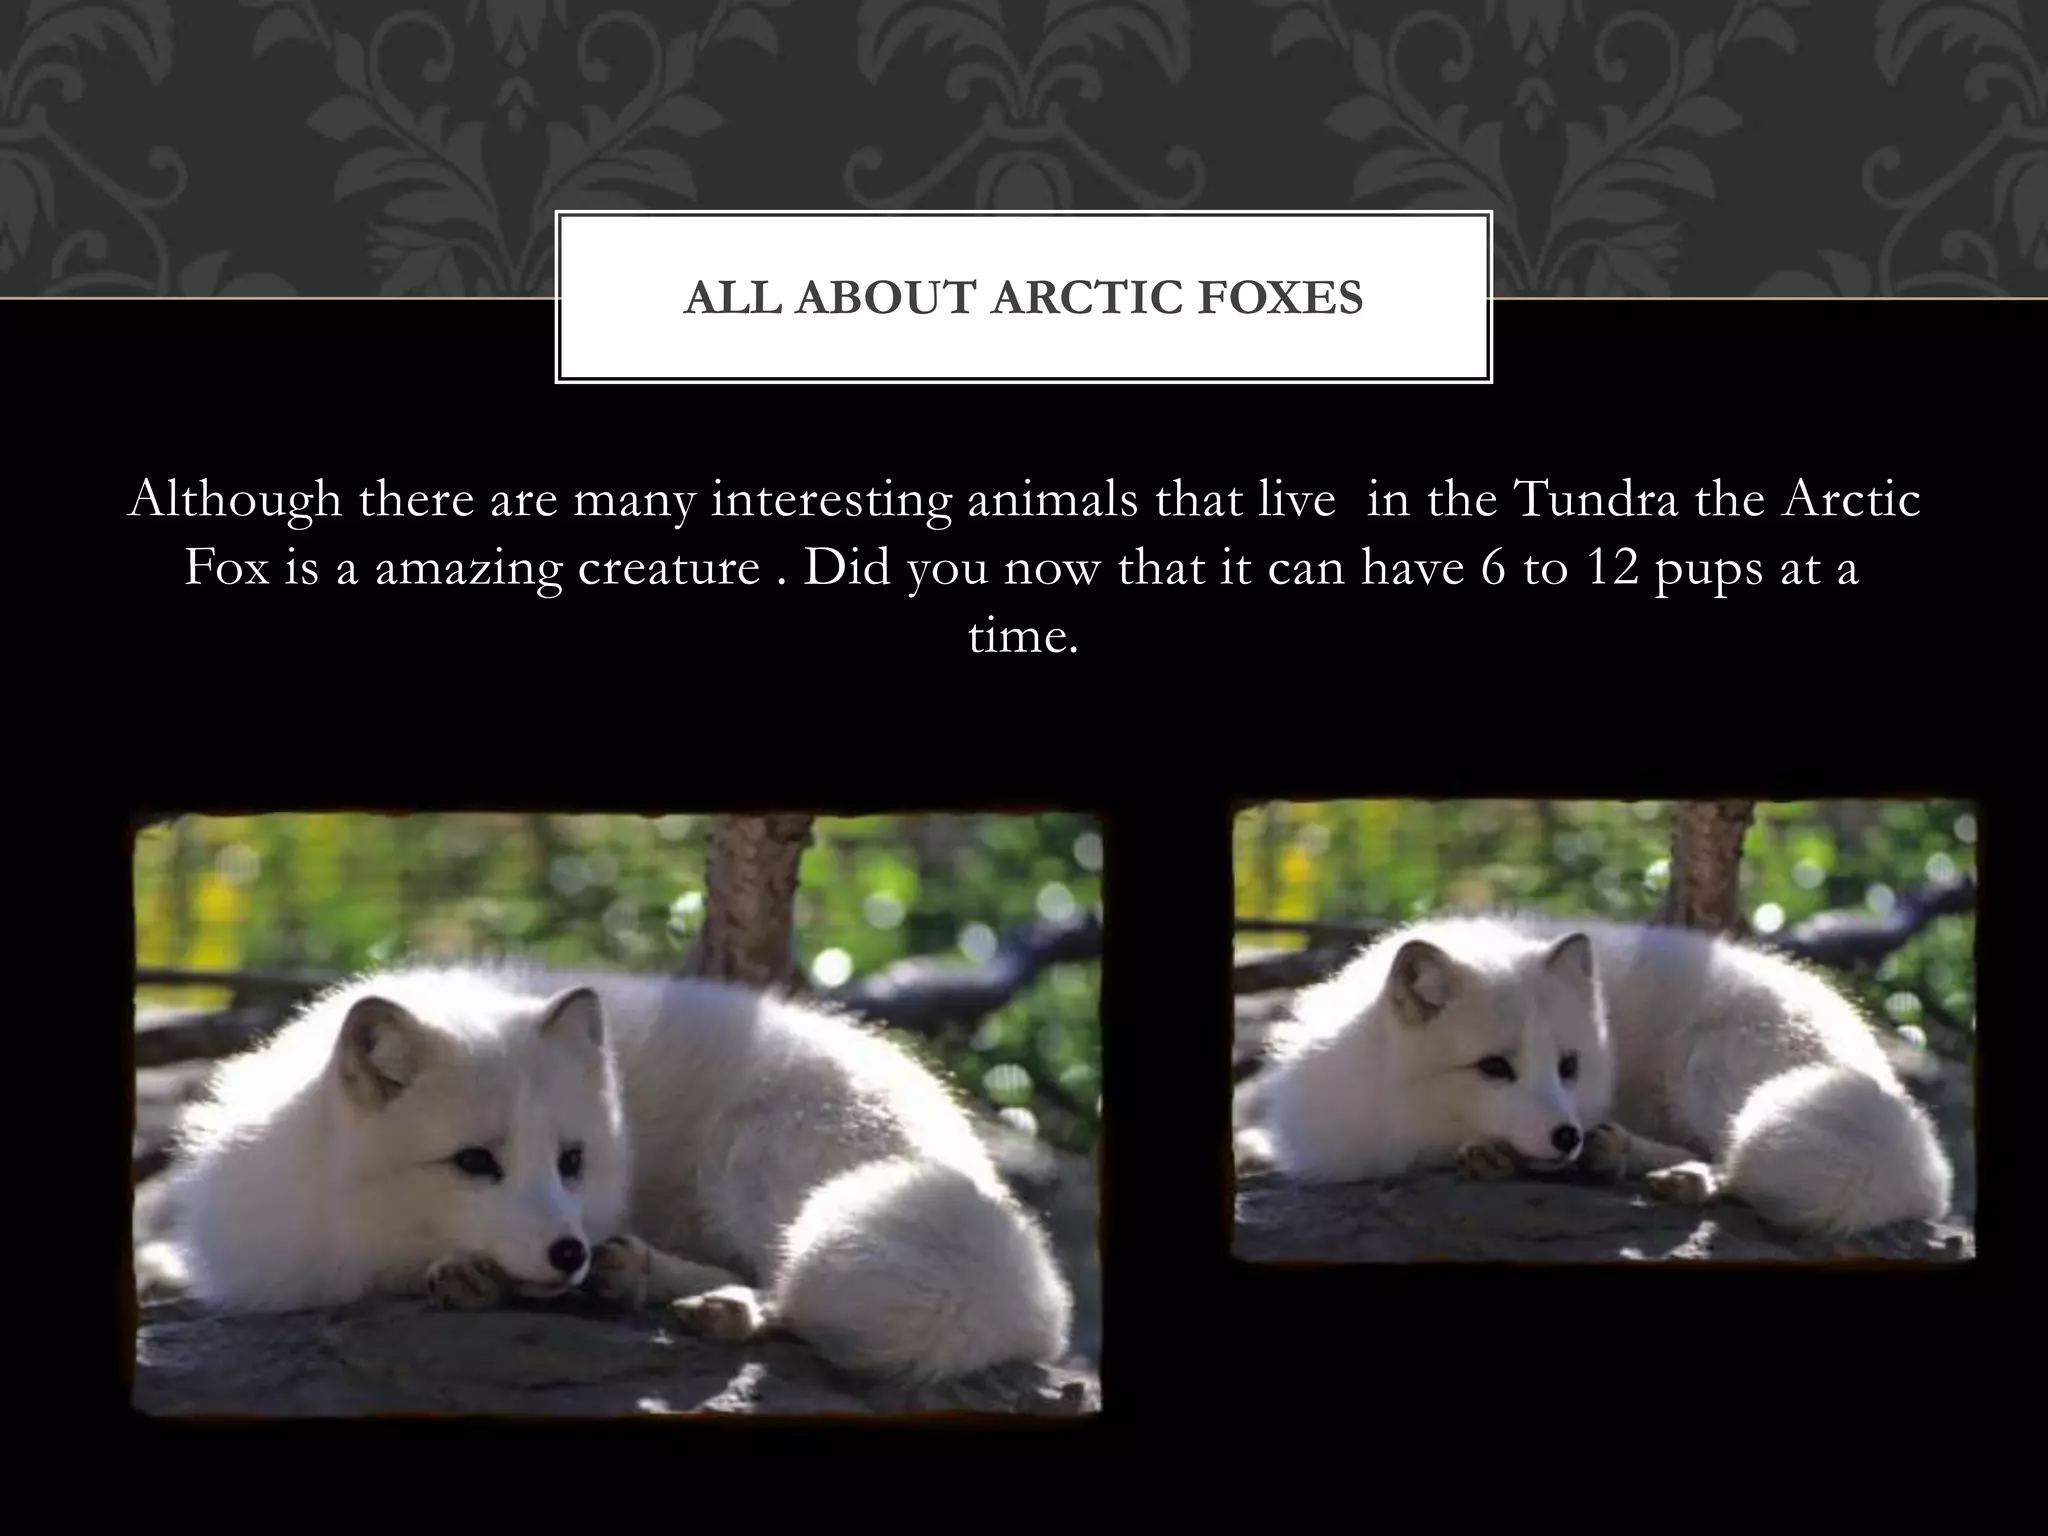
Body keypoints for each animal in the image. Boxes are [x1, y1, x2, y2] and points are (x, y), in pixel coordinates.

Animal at [159, 961, 1074, 1384]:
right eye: (473, 1162)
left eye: (572, 1161)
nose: (569, 1252)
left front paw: (464, 1273)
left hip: (761, 1158)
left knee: (781, 1281)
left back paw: (702, 1298)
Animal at [1239, 913, 1955, 1237]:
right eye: (1494, 1067)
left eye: (1568, 1066)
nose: (1566, 1136)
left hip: (1713, 1066)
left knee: (1728, 1157)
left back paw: (1661, 1168)